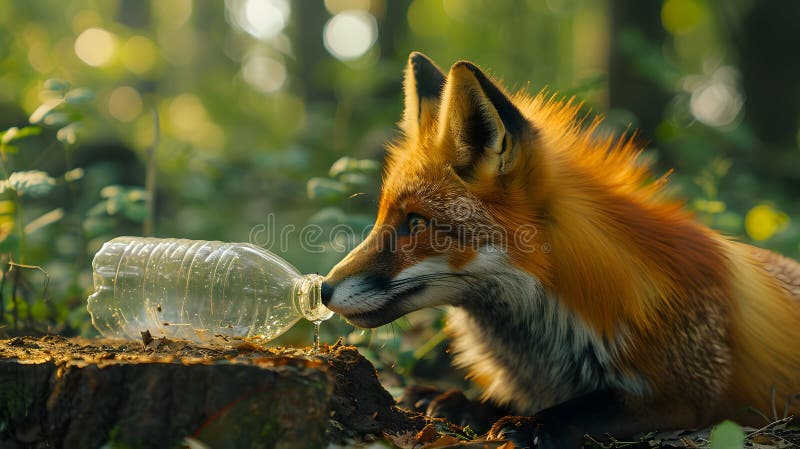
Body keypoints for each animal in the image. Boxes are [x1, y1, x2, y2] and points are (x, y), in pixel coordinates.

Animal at [320, 52, 800, 448]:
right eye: (383, 217)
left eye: (416, 223)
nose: (323, 289)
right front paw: (463, 402)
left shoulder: (689, 394)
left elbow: (585, 409)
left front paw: (533, 425)